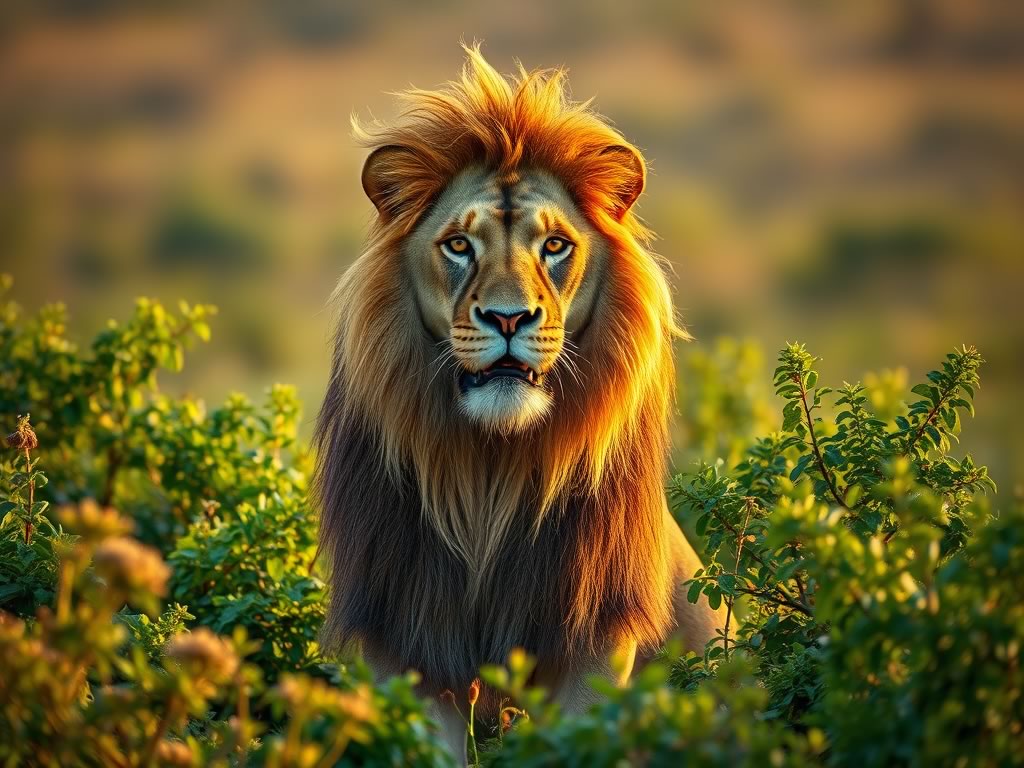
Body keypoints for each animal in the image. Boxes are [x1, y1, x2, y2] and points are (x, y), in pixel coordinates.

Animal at [313, 46, 725, 760]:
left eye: (554, 245)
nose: (509, 318)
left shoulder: (591, 632)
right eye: (459, 244)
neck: (490, 471)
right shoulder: (406, 635)